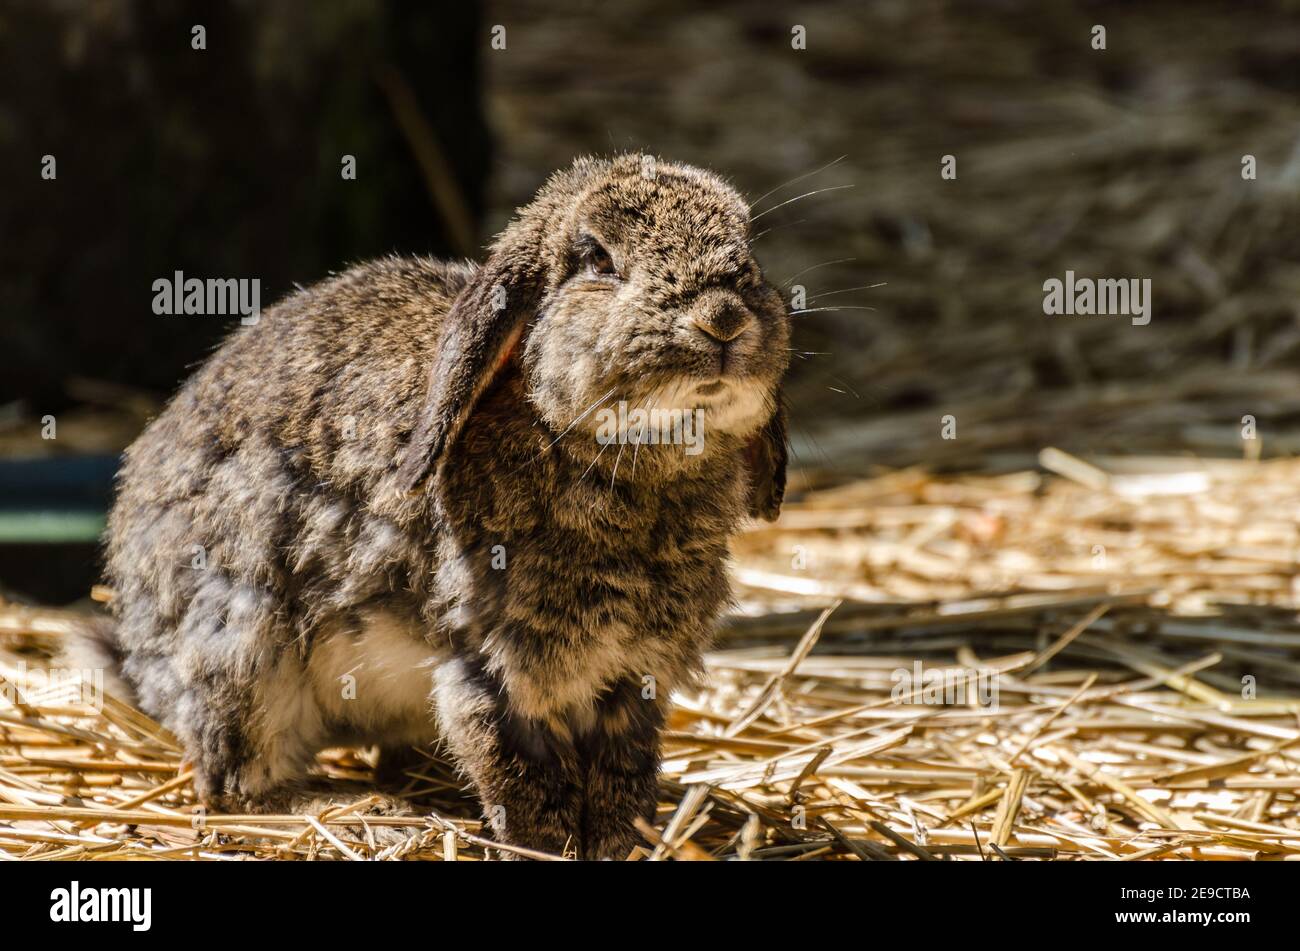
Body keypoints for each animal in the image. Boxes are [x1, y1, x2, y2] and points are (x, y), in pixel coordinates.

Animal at [94, 154, 790, 859]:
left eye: (749, 256)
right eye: (597, 257)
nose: (723, 319)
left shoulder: (632, 677)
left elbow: (621, 775)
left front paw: (620, 843)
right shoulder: (491, 666)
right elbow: (524, 776)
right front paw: (544, 844)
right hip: (243, 644)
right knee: (239, 782)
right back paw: (364, 815)